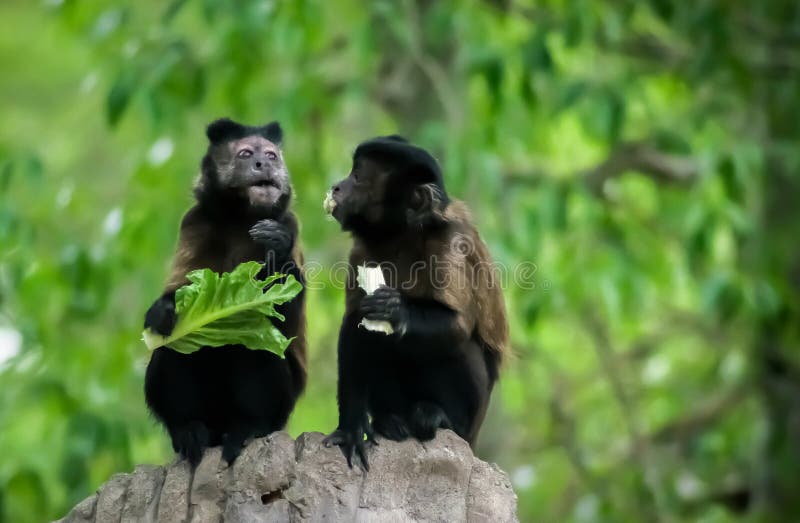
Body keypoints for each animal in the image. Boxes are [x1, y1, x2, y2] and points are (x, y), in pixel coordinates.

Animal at [143, 118, 306, 466]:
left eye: (271, 155)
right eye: (245, 153)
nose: (263, 164)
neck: (240, 219)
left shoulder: (290, 222)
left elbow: (283, 317)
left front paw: (277, 247)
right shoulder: (194, 223)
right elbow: (178, 293)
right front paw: (162, 312)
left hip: (280, 410)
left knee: (255, 340)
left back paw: (248, 428)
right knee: (173, 346)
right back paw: (188, 430)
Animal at [323, 135, 508, 469]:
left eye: (357, 176)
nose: (337, 187)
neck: (402, 235)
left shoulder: (450, 241)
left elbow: (457, 326)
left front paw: (396, 311)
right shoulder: (362, 251)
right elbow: (355, 323)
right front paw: (351, 428)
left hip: (473, 417)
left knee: (454, 346)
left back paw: (439, 418)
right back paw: (389, 420)